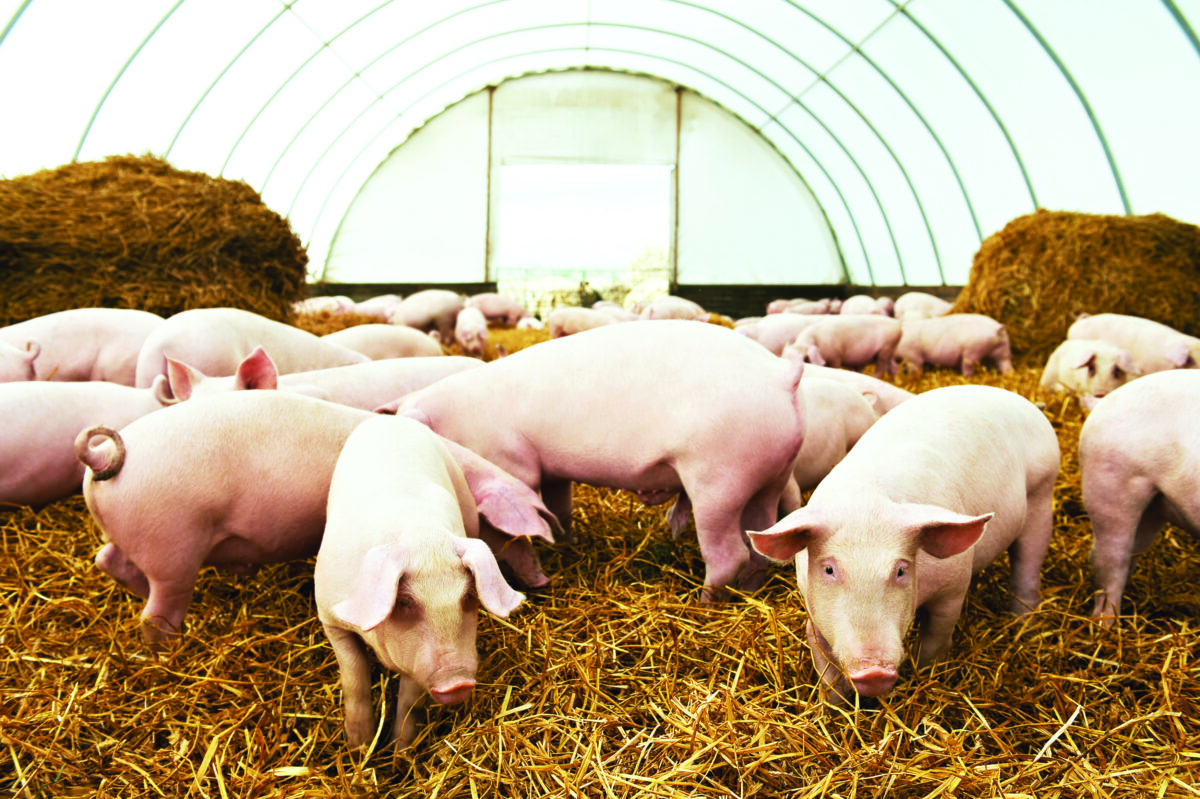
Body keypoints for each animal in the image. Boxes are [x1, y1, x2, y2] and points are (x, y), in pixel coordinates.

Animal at [74, 390, 556, 643]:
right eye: (516, 534)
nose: (542, 581)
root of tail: (105, 460)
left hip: (141, 542)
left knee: (107, 558)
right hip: (172, 548)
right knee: (155, 611)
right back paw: (173, 641)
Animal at [317, 415, 545, 748]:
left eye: (468, 597)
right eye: (404, 601)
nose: (457, 682)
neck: (421, 536)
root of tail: (392, 420)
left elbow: (409, 701)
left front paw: (401, 752)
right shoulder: (330, 617)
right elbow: (354, 677)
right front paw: (359, 747)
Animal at [392, 320, 807, 600]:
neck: (458, 415)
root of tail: (781, 376)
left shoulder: (512, 460)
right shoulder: (552, 471)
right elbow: (559, 507)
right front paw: (566, 542)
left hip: (718, 480)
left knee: (728, 555)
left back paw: (704, 602)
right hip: (770, 477)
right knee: (760, 546)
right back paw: (748, 592)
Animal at [748, 385, 1060, 703]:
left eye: (900, 570)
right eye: (829, 570)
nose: (873, 671)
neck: (865, 501)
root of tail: (1016, 398)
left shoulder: (953, 586)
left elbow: (936, 638)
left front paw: (925, 673)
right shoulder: (811, 605)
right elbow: (826, 667)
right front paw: (833, 706)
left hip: (1042, 491)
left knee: (1028, 563)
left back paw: (1023, 622)